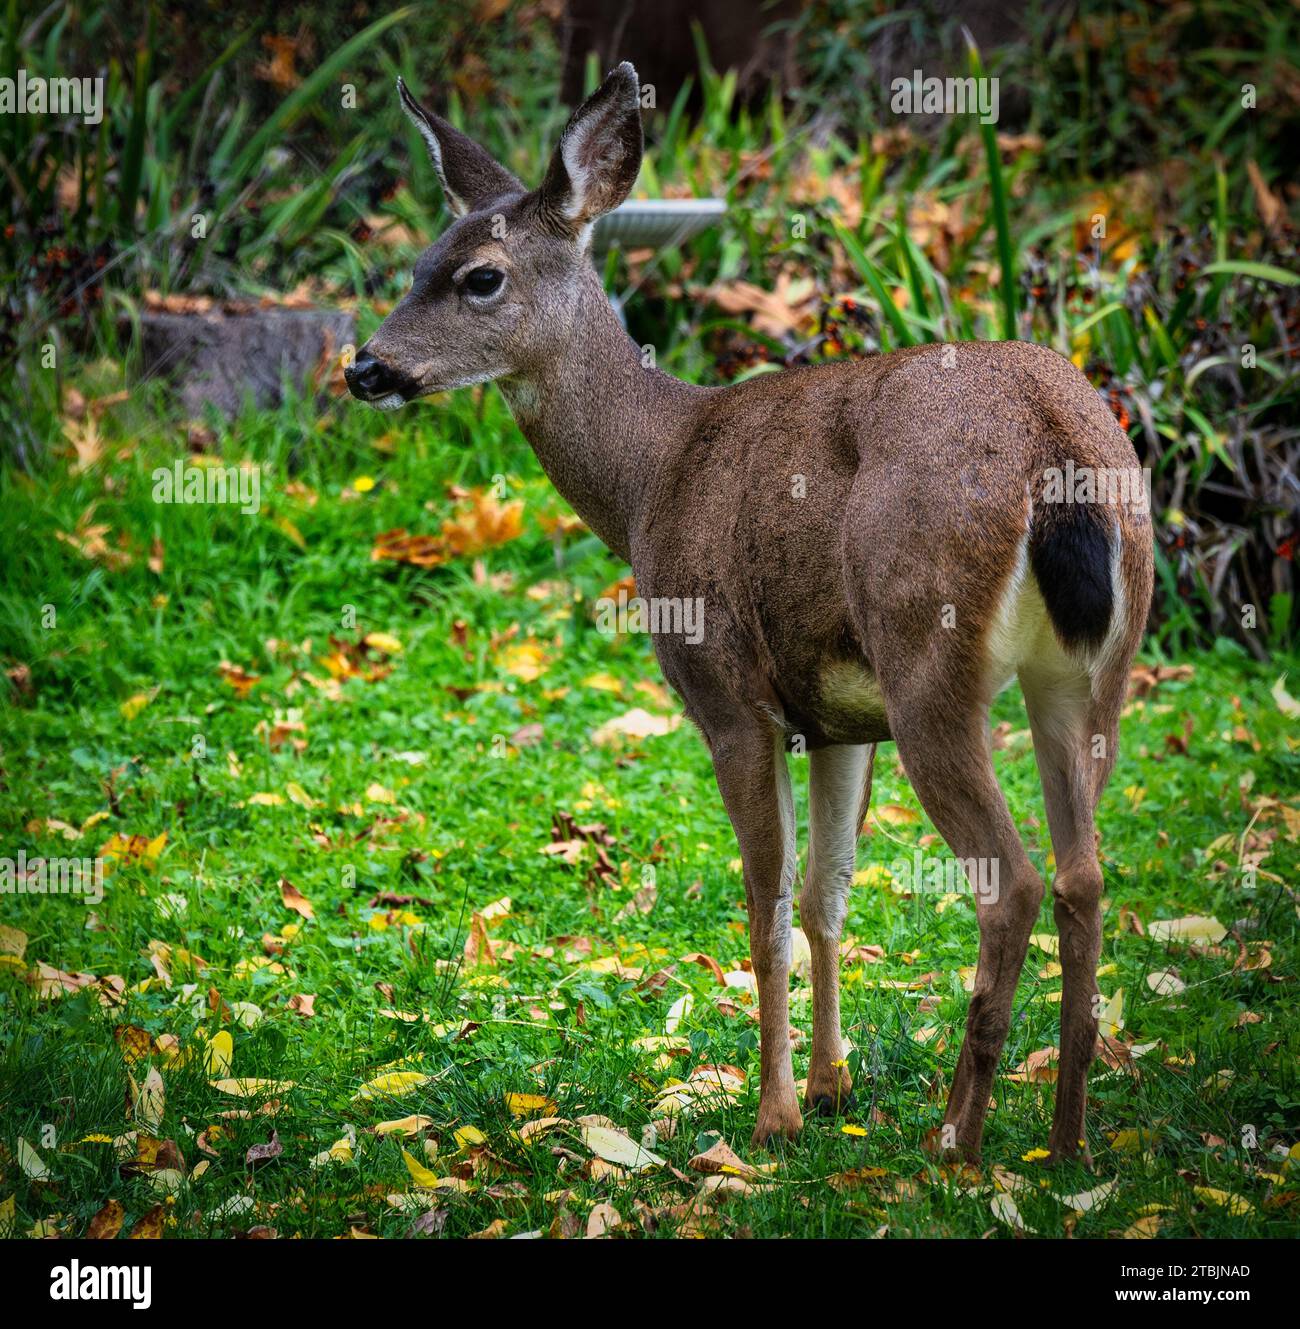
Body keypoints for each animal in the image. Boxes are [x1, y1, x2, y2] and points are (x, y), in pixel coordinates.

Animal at [346, 62, 1154, 1161]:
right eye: (420, 260)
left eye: (479, 277)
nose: (365, 367)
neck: (650, 474)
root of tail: (1053, 447)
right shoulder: (838, 718)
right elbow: (826, 896)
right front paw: (830, 1086)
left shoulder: (728, 691)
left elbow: (765, 906)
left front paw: (772, 1116)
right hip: (1089, 670)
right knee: (1083, 875)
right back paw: (1065, 1140)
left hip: (927, 651)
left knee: (1015, 881)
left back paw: (957, 1136)